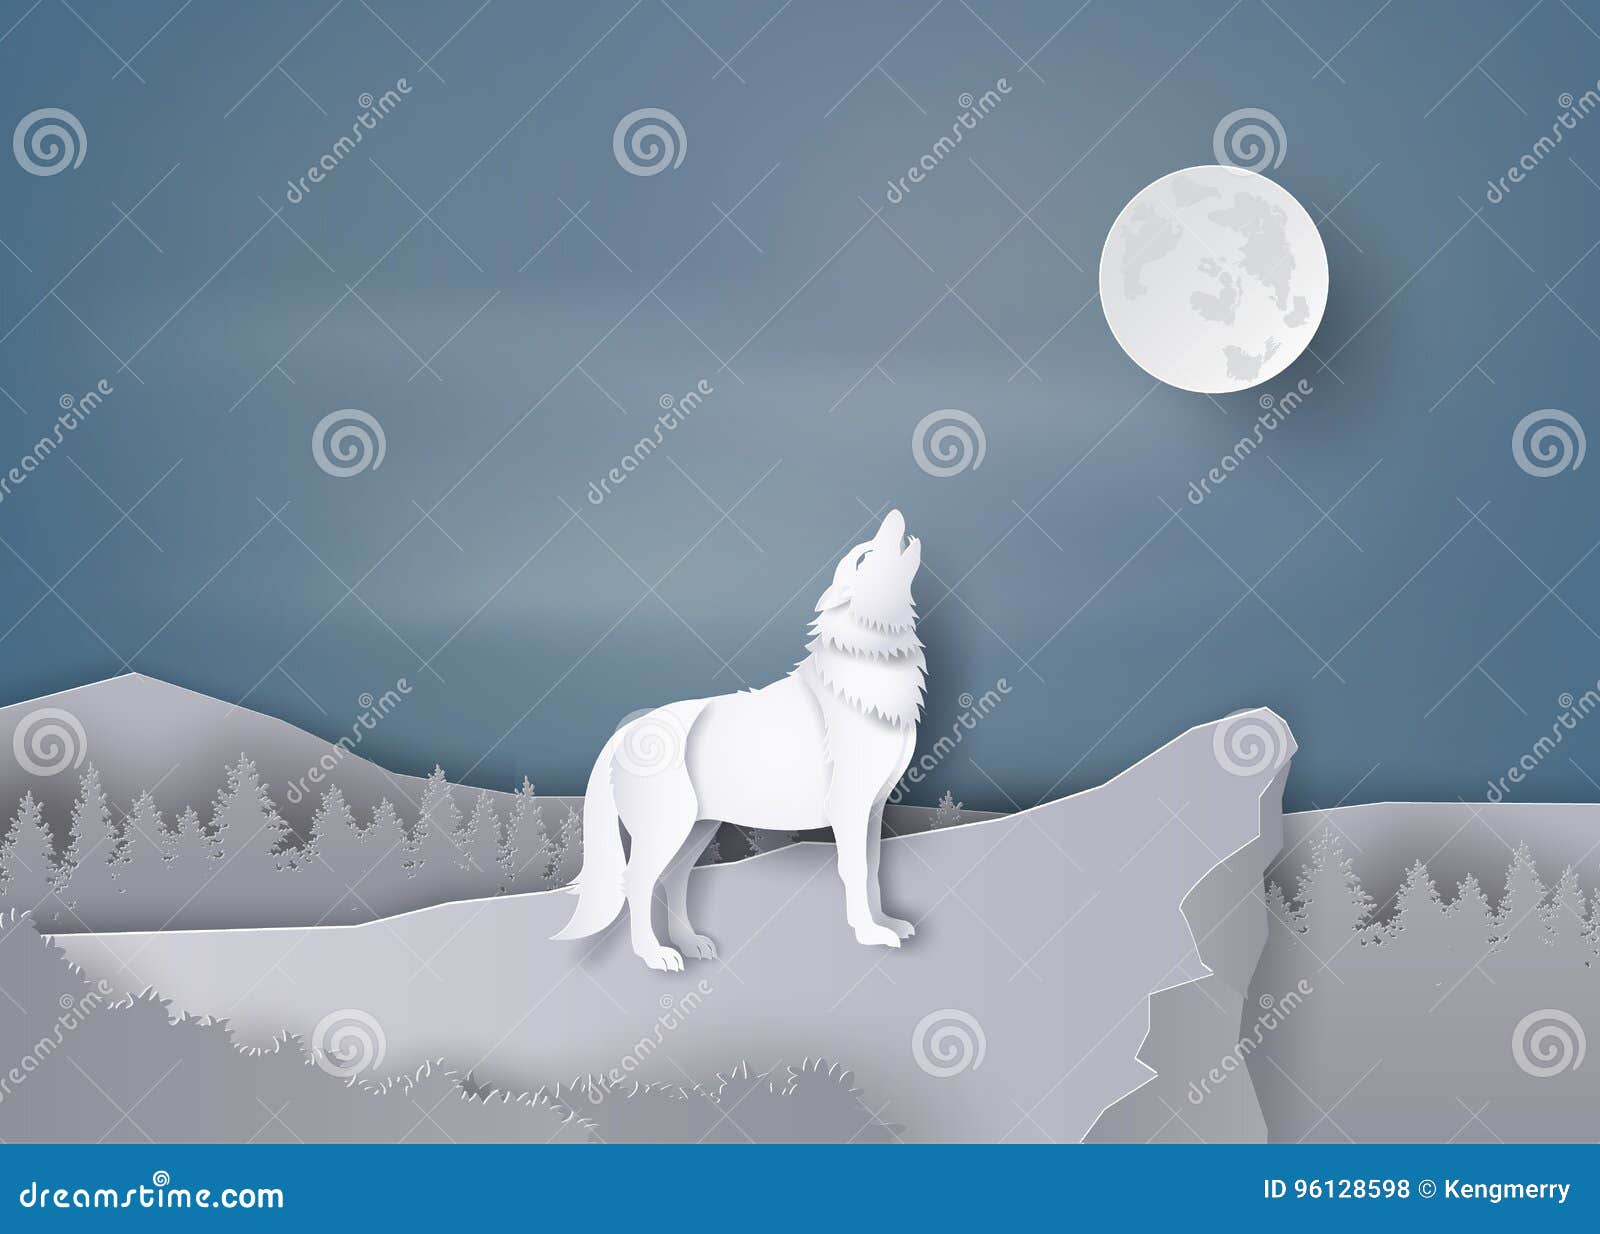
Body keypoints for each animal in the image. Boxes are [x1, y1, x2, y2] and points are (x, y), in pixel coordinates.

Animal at [553, 509, 926, 970]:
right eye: (865, 555)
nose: (895, 513)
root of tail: (625, 730)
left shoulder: (873, 808)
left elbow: (873, 870)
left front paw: (887, 923)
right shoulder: (850, 806)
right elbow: (853, 870)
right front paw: (870, 935)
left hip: (697, 829)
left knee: (673, 878)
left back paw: (692, 944)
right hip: (666, 829)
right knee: (637, 880)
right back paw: (655, 955)